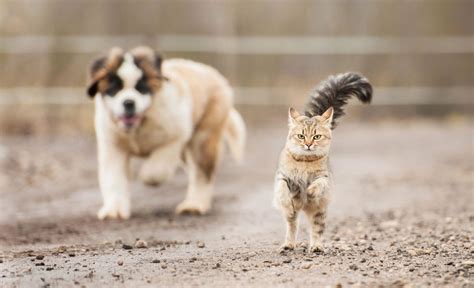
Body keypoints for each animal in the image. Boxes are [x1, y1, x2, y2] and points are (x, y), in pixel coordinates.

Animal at [86, 46, 246, 219]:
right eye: (115, 89)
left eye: (141, 88)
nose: (128, 102)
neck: (140, 125)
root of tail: (212, 72)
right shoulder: (113, 148)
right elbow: (114, 179)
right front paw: (114, 211)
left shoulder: (176, 136)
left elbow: (158, 168)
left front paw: (148, 177)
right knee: (194, 171)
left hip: (203, 140)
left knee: (202, 173)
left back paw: (194, 205)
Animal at [274, 72, 374, 252]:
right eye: (301, 136)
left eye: (316, 136)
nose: (308, 144)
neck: (305, 162)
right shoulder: (283, 176)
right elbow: (283, 189)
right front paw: (288, 201)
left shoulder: (324, 177)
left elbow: (318, 183)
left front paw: (310, 191)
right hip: (294, 217)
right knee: (292, 225)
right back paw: (288, 244)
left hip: (319, 212)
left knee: (316, 231)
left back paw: (316, 247)